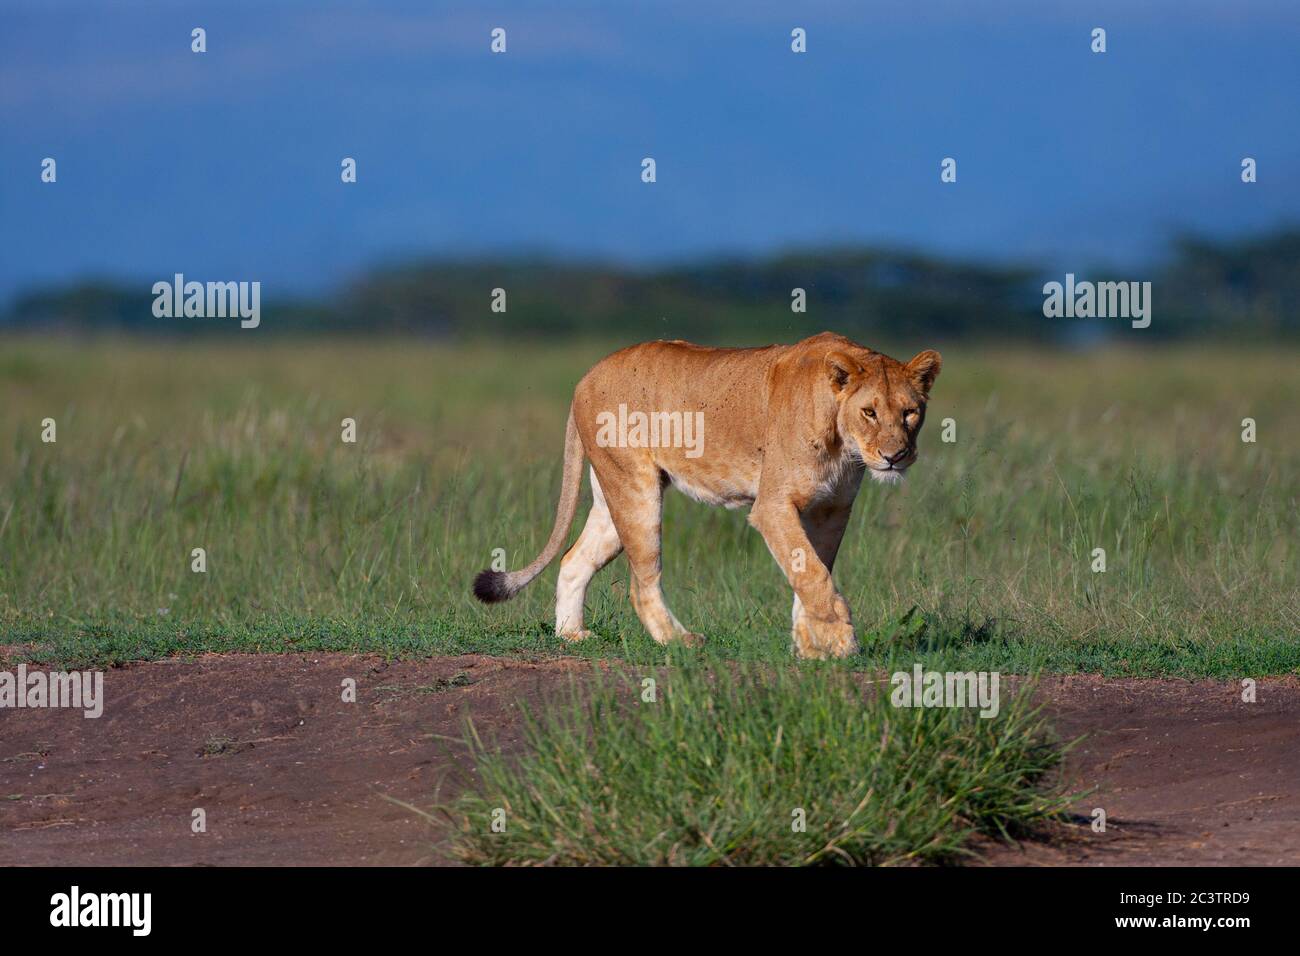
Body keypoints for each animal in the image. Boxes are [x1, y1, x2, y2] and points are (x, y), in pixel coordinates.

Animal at [473, 332, 941, 659]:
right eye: (869, 412)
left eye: (910, 412)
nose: (895, 456)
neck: (842, 442)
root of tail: (586, 377)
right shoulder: (773, 506)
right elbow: (812, 573)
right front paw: (842, 642)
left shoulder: (832, 509)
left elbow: (810, 570)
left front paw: (809, 646)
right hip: (637, 493)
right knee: (641, 583)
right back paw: (678, 641)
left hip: (612, 497)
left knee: (573, 560)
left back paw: (572, 635)